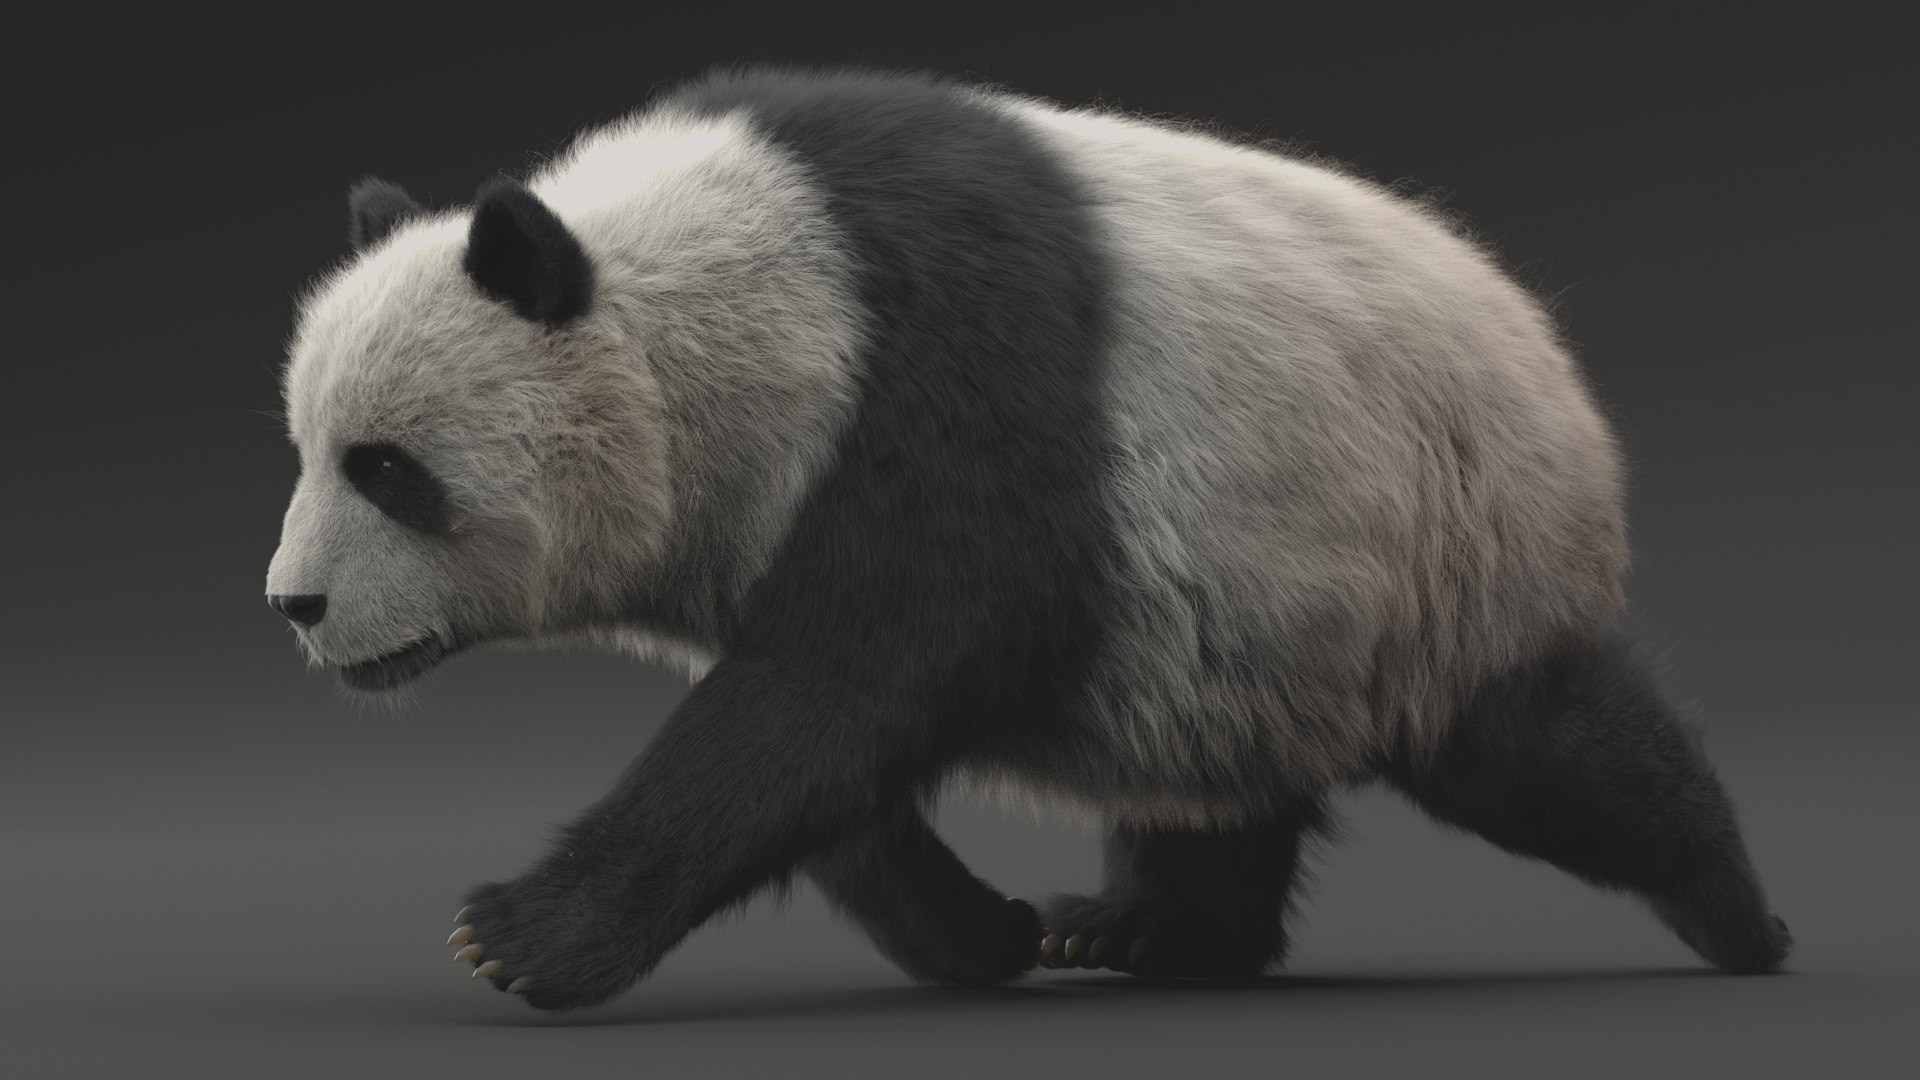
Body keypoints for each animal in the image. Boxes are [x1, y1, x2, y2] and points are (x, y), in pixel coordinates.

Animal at [265, 65, 1792, 1011]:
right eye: (306, 450)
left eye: (387, 471)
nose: (296, 607)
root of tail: (1548, 357)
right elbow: (823, 747)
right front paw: (979, 936)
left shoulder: (949, 372)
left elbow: (847, 683)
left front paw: (519, 940)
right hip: (1252, 602)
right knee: (1222, 760)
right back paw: (1147, 929)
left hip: (1442, 544)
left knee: (1552, 751)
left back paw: (1740, 917)